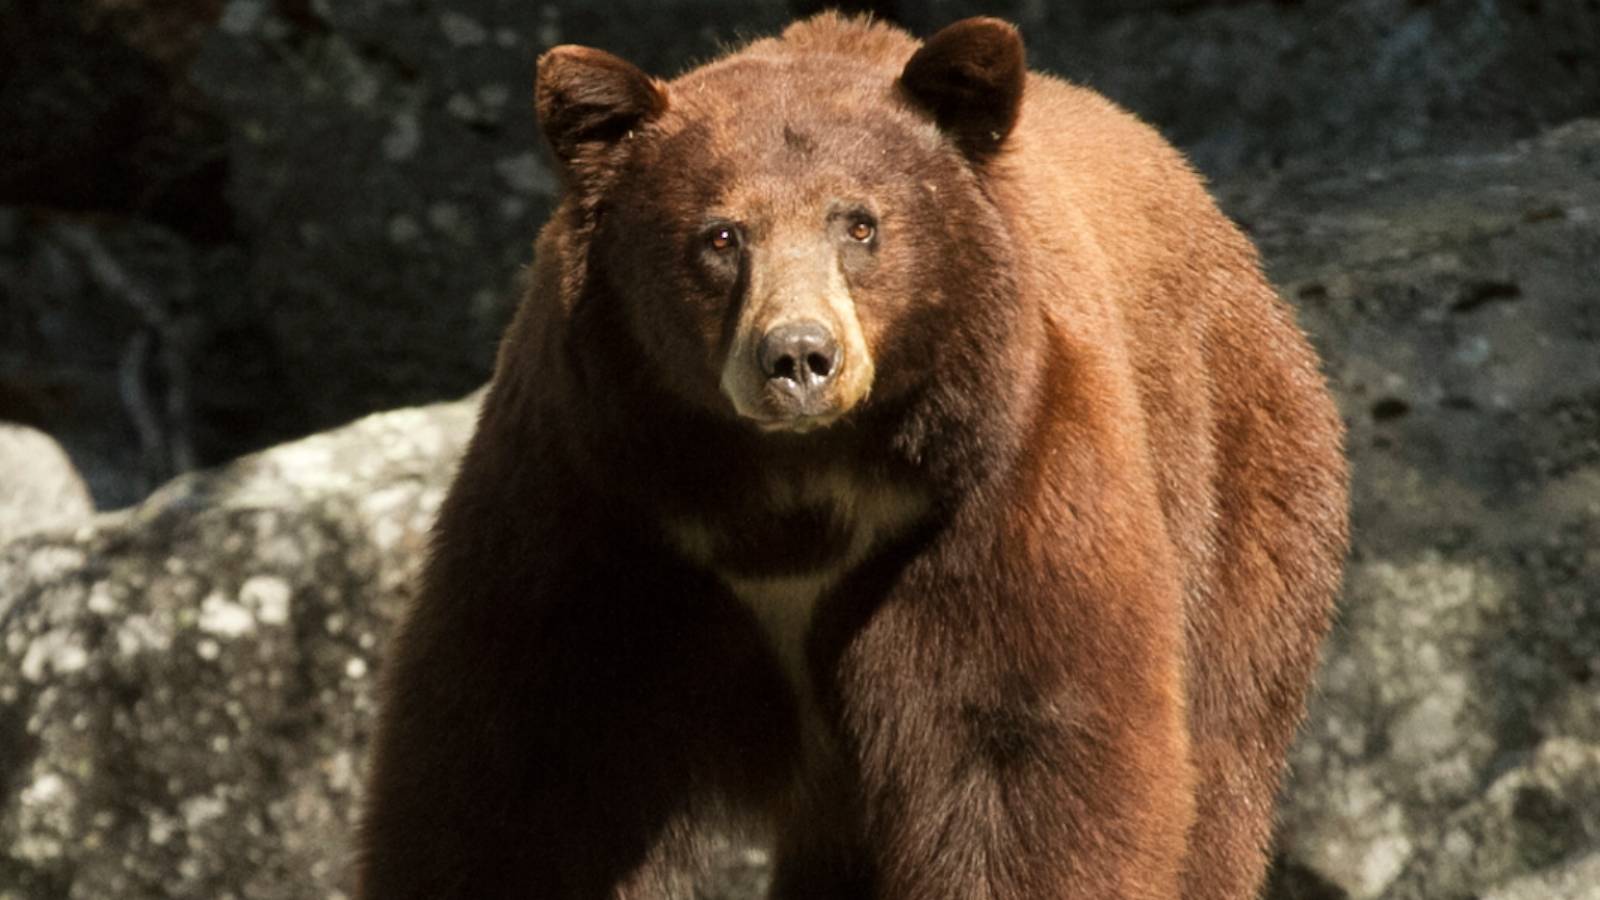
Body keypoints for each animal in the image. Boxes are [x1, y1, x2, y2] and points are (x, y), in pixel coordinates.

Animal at [356, 13, 1348, 900]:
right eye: (722, 236)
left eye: (860, 224)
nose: (798, 356)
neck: (792, 491)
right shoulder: (593, 493)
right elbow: (521, 773)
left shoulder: (994, 491)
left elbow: (1022, 756)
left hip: (1238, 490)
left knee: (1219, 771)